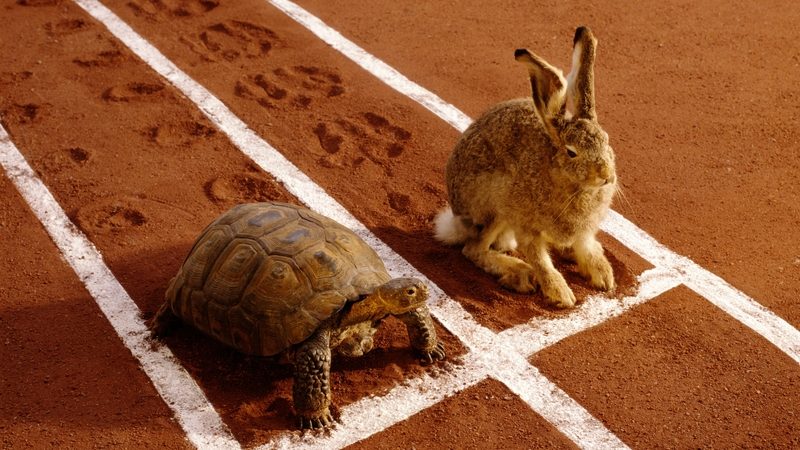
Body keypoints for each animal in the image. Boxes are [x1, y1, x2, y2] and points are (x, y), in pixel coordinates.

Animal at [434, 26, 617, 308]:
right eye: (572, 152)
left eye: (606, 140)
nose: (607, 176)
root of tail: (456, 221)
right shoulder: (525, 224)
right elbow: (540, 261)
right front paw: (561, 294)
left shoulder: (584, 231)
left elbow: (586, 246)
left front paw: (604, 276)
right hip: (493, 206)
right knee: (474, 249)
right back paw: (519, 273)